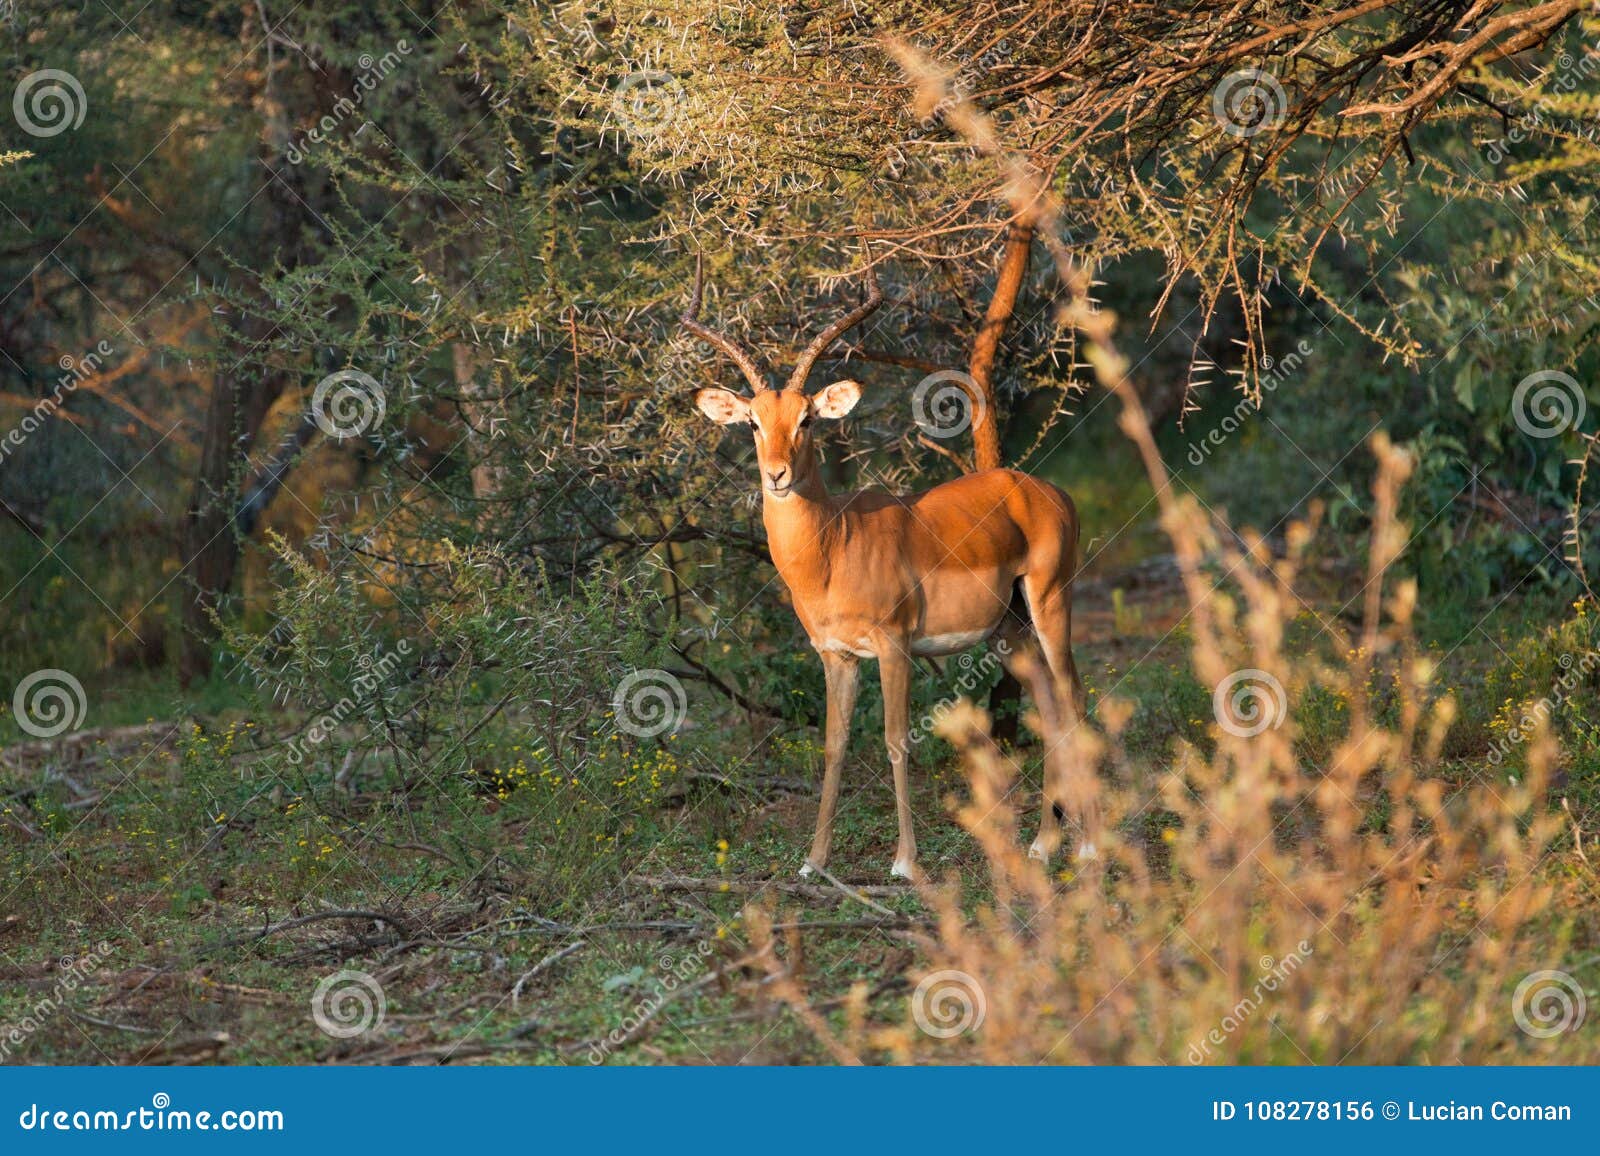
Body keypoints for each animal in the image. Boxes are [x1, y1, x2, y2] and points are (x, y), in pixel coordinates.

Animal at [687, 252, 1095, 880]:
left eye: (807, 418)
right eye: (753, 422)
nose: (777, 475)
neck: (833, 548)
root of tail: (1045, 490)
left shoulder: (894, 645)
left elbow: (897, 739)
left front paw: (905, 863)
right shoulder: (835, 655)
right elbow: (834, 745)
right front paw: (813, 862)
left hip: (1050, 603)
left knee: (1074, 699)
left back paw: (1090, 846)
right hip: (1009, 630)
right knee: (1048, 709)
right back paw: (1044, 845)